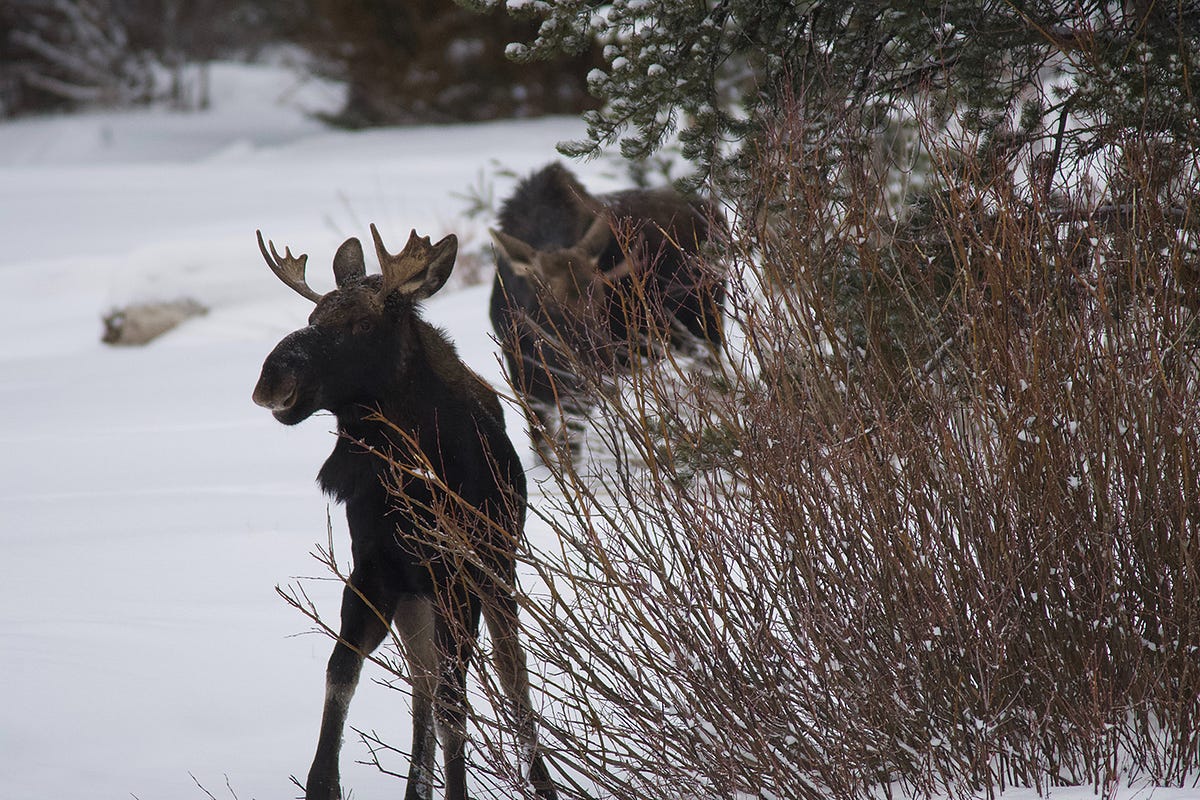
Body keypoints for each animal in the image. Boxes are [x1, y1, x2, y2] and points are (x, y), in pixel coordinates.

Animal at [251, 225, 556, 800]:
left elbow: (456, 702)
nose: (271, 380)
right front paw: (322, 783)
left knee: (508, 670)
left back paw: (541, 781)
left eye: (362, 324)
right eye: (312, 318)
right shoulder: (374, 571)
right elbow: (342, 671)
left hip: (494, 574)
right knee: (422, 685)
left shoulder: (459, 576)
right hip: (418, 598)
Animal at [488, 162, 726, 456]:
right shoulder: (524, 382)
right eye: (550, 308)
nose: (599, 370)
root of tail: (716, 213)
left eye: (601, 302)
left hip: (707, 326)